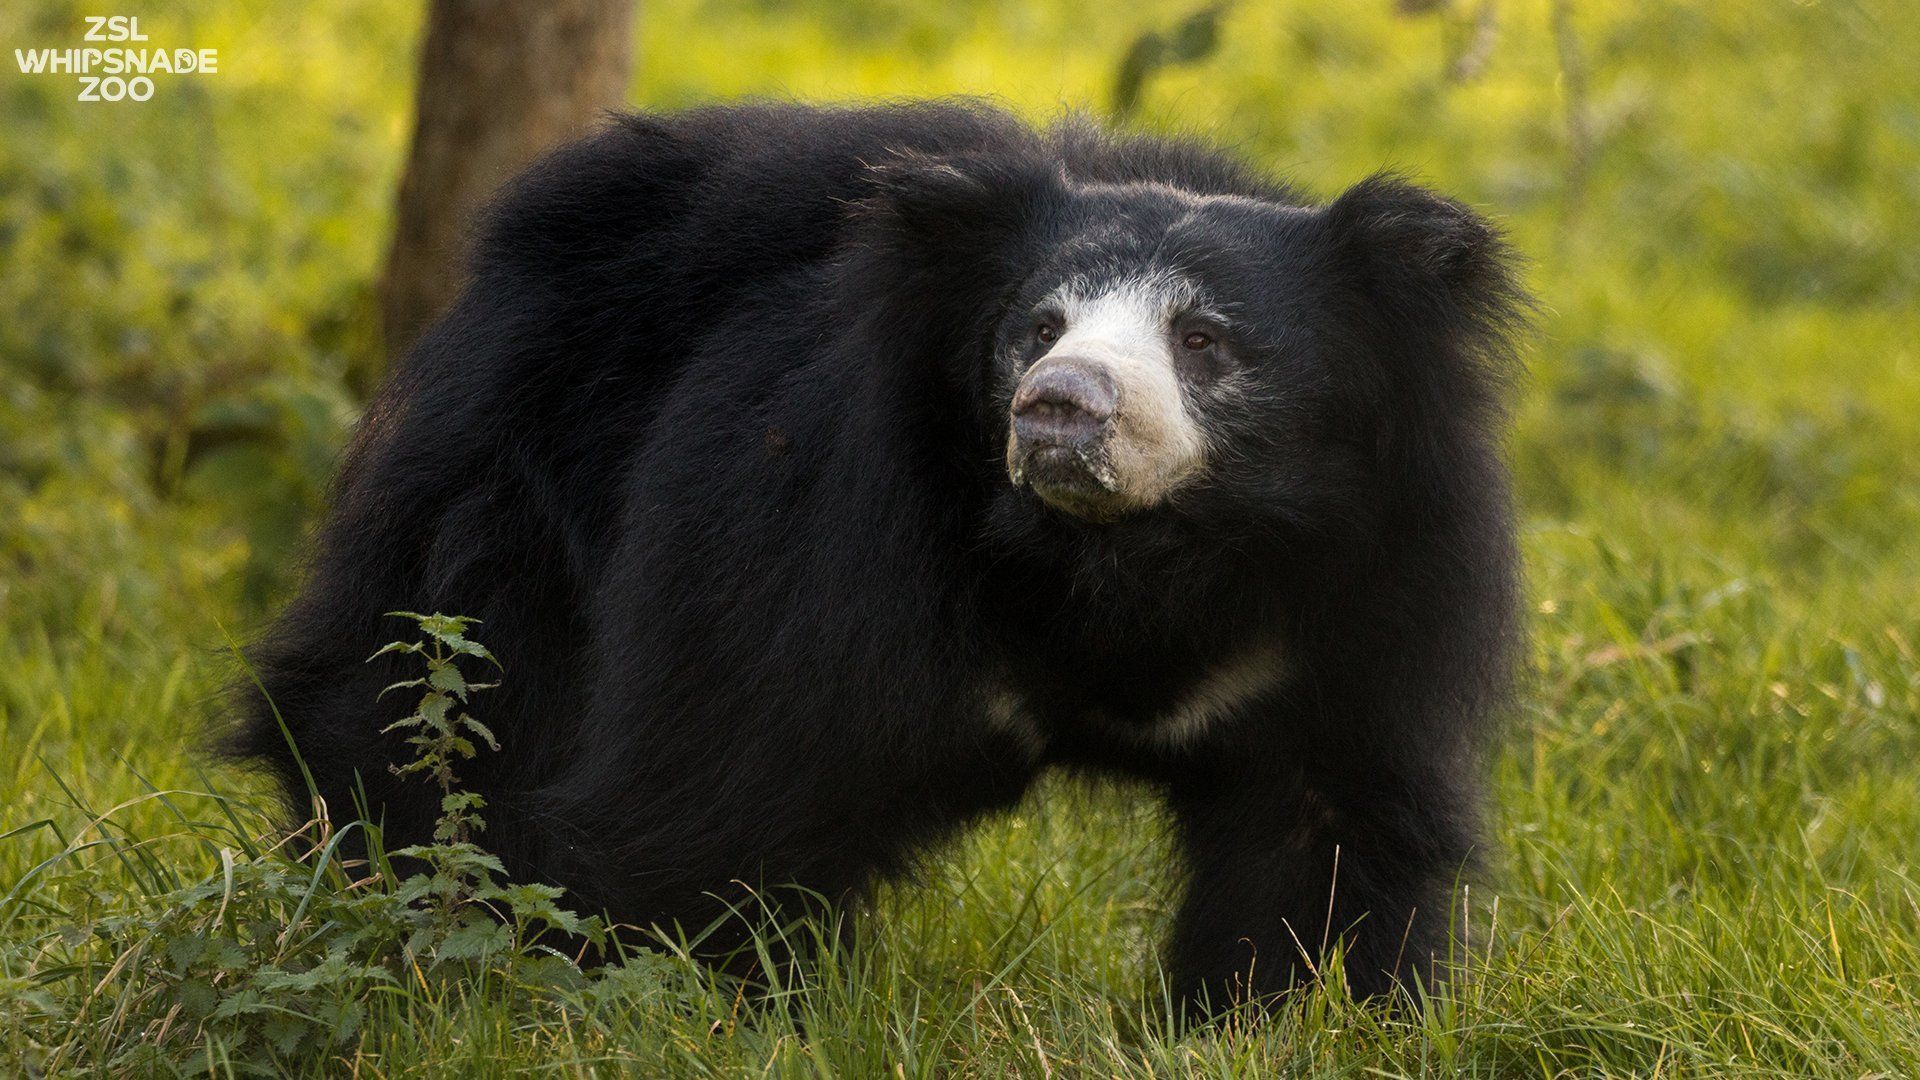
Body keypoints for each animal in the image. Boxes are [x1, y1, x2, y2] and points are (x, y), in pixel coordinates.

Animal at [233, 101, 1528, 1014]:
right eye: (1036, 329)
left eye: (1204, 338)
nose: (1059, 408)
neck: (1120, 557)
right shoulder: (821, 522)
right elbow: (727, 784)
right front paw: (699, 1008)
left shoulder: (1366, 590)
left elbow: (1323, 833)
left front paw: (1287, 1017)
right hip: (515, 458)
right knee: (433, 694)